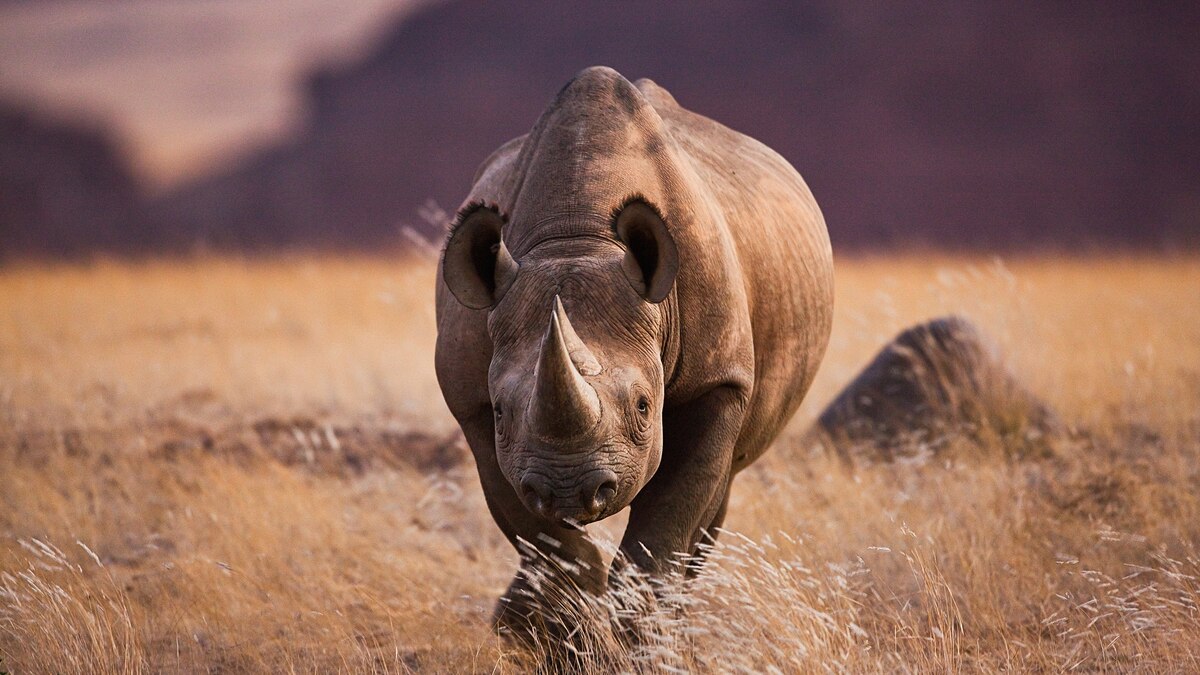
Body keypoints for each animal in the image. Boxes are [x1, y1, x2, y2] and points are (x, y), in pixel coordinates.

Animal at [435, 66, 833, 638]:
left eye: (645, 406)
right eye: (502, 412)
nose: (570, 491)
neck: (576, 238)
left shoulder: (719, 381)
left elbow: (667, 522)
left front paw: (641, 639)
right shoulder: (471, 401)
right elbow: (542, 537)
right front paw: (566, 634)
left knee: (717, 494)